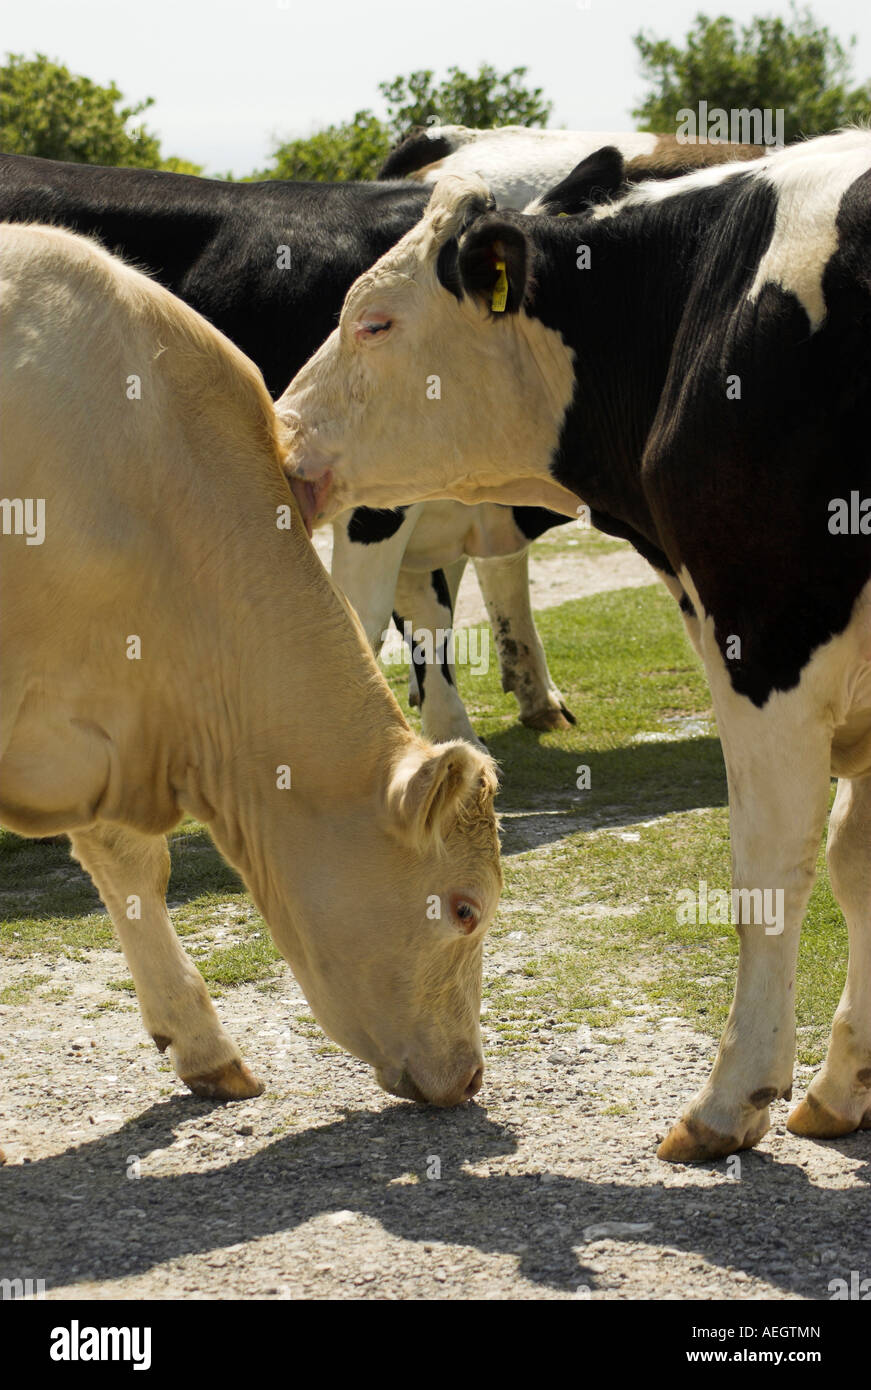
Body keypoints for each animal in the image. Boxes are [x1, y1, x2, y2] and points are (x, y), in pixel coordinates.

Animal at [279, 130, 871, 1161]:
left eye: (374, 324)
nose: (277, 427)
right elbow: (855, 861)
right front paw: (843, 1087)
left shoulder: (766, 630)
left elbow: (773, 860)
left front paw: (733, 1101)